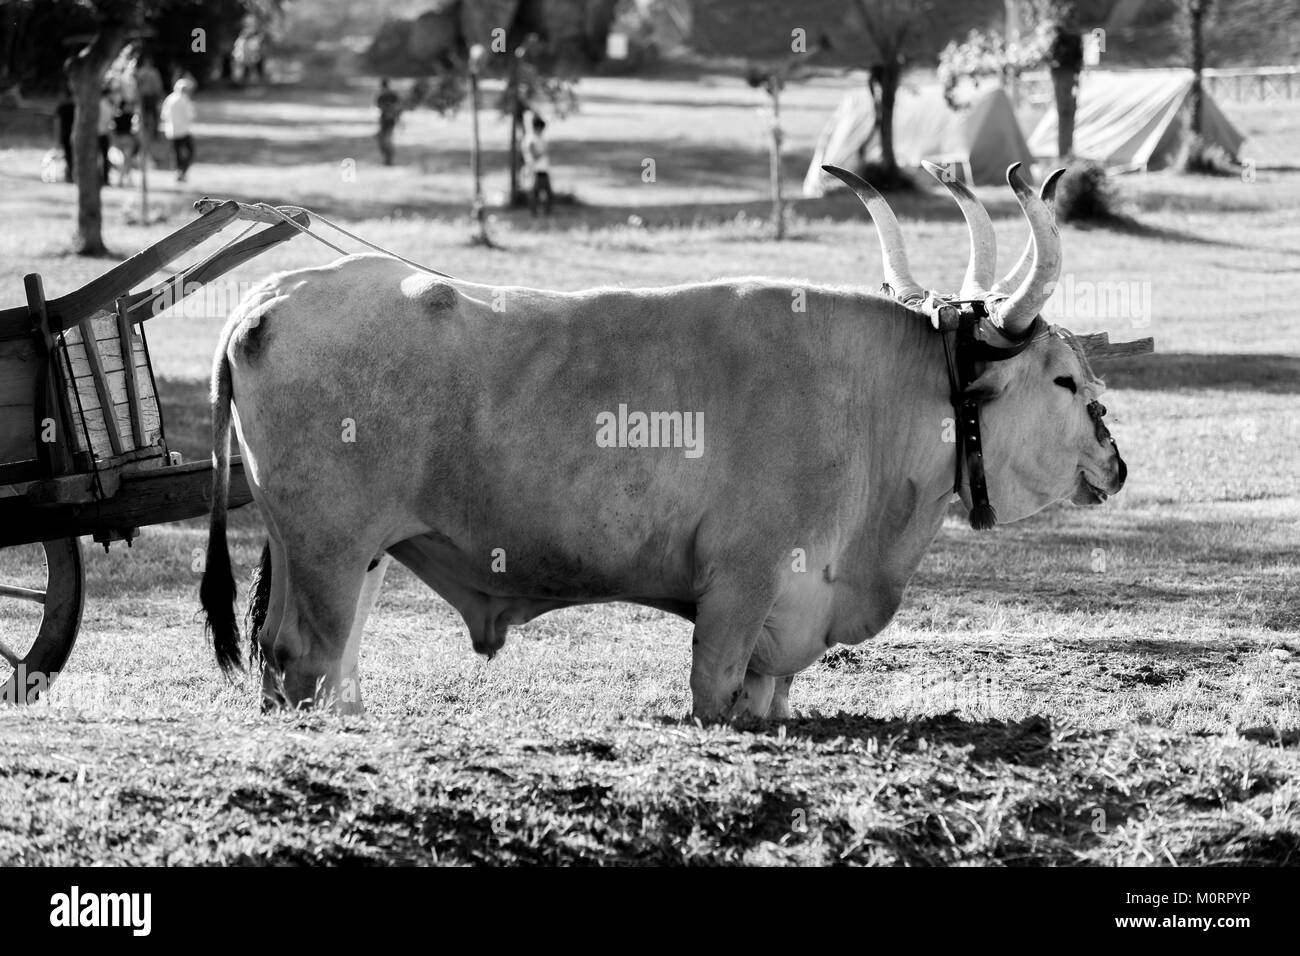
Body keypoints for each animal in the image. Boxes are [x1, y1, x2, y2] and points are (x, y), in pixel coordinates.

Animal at [201, 163, 1133, 722]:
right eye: (1064, 379)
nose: (1115, 460)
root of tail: (273, 297)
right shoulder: (740, 587)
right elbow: (713, 693)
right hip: (329, 555)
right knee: (302, 660)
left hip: (329, 557)